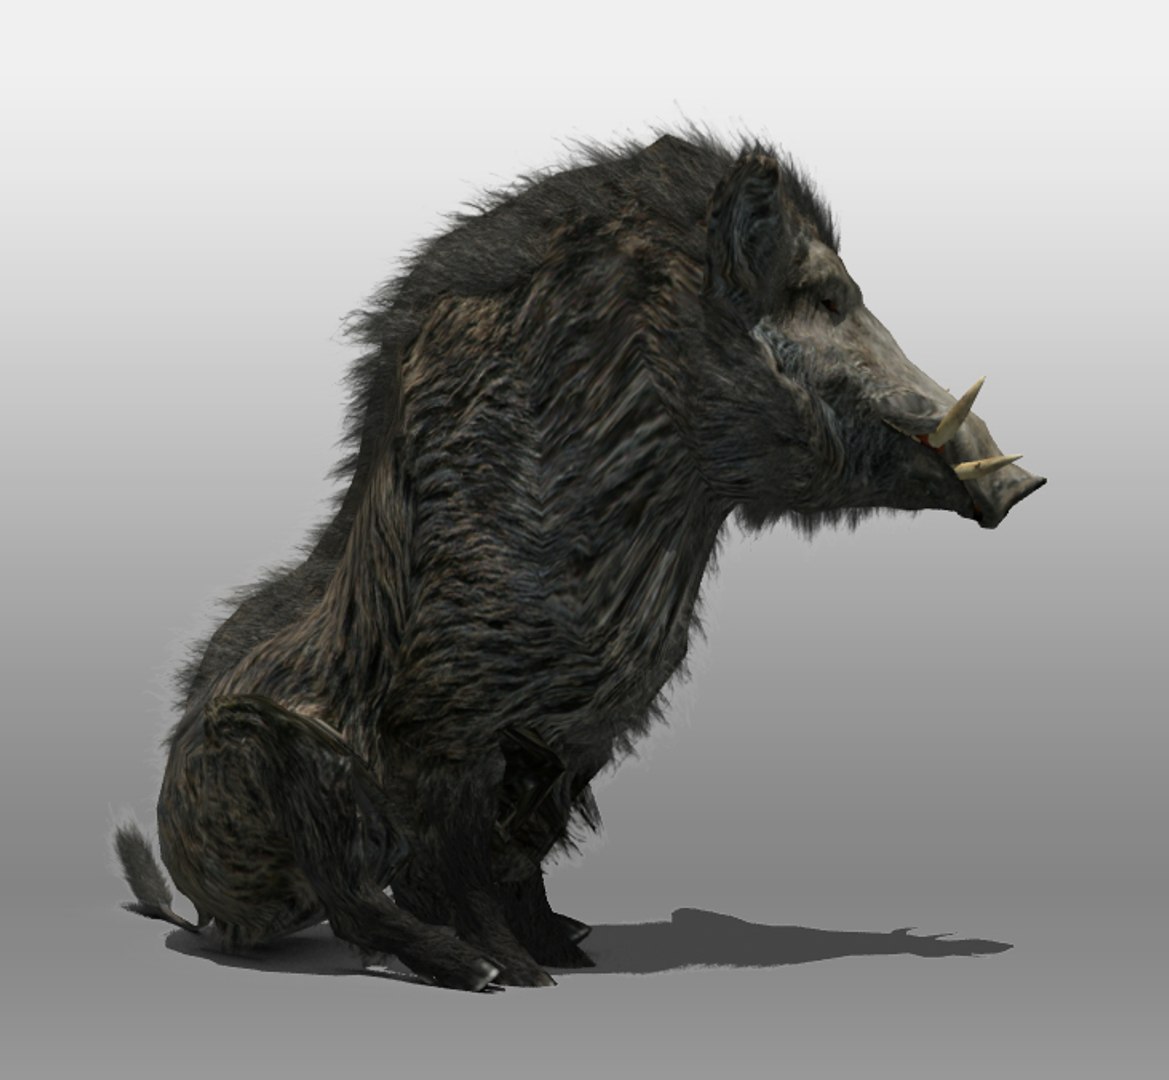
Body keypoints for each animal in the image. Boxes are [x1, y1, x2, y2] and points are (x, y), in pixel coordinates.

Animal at [114, 128, 1045, 991]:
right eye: (826, 297)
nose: (1024, 482)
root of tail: (202, 901)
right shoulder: (434, 734)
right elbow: (454, 866)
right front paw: (519, 974)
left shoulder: (569, 744)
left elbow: (521, 860)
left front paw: (571, 951)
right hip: (257, 750)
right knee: (344, 893)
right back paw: (467, 971)